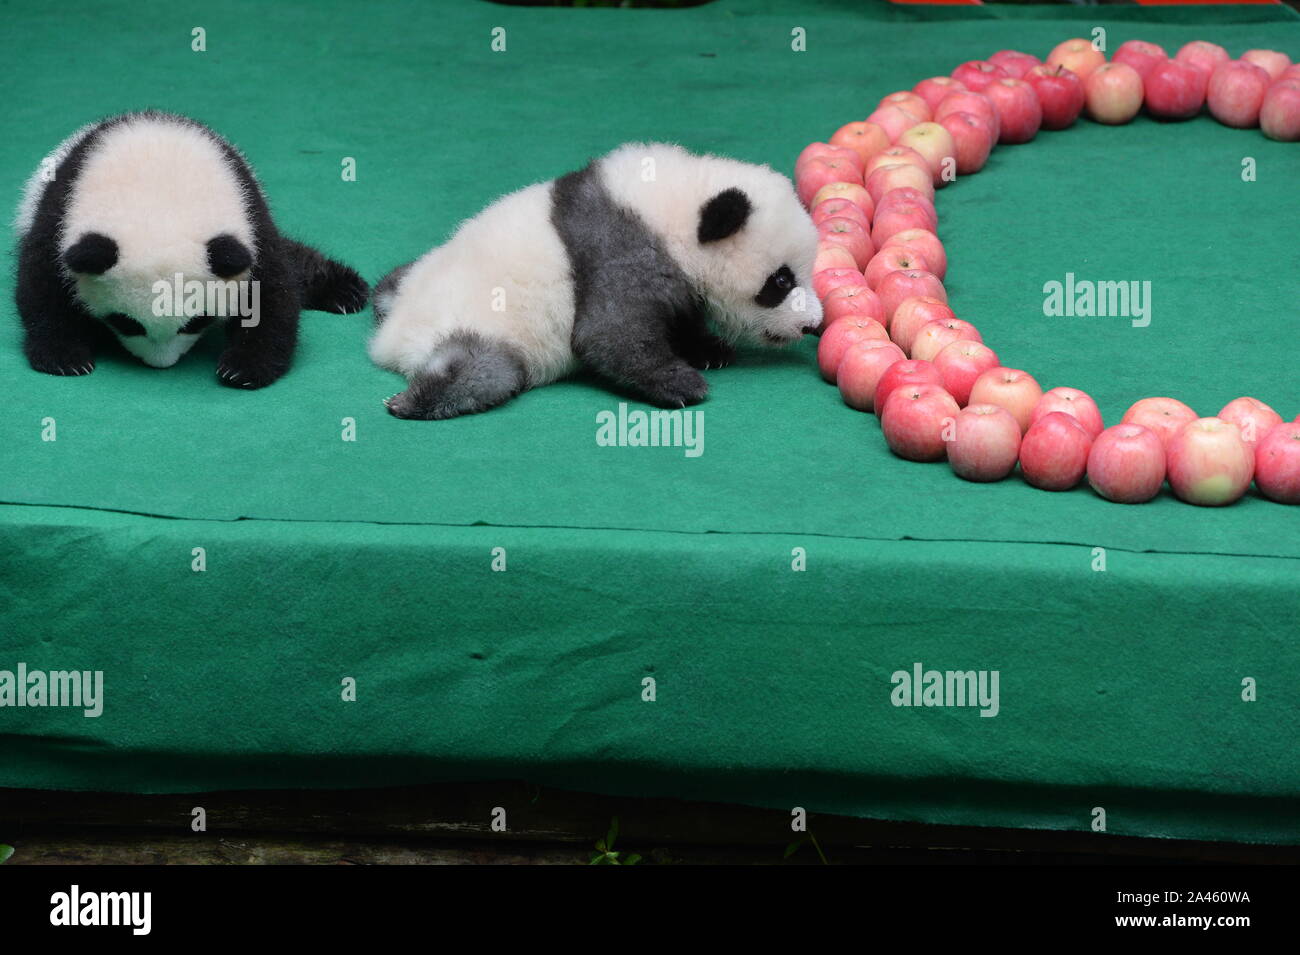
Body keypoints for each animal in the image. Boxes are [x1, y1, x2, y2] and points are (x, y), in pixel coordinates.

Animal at [14, 111, 369, 388]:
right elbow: (43, 286)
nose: (161, 364)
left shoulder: (250, 217)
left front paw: (243, 368)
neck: (158, 206)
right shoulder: (61, 212)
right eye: (126, 322)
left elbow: (273, 292)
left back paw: (345, 290)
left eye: (197, 321)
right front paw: (65, 357)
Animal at [370, 142, 822, 419]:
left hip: (413, 275)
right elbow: (607, 335)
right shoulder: (617, 252)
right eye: (781, 281)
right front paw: (680, 382)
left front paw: (709, 349)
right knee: (481, 372)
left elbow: (678, 315)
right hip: (481, 329)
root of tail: (389, 342)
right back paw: (408, 401)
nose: (812, 325)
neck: (669, 207)